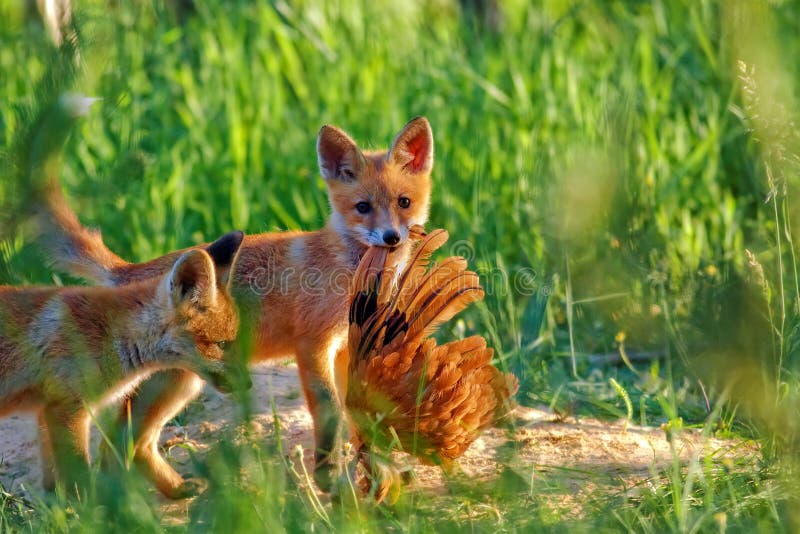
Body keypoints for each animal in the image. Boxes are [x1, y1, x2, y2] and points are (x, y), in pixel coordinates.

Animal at [0, 235, 249, 495]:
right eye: (222, 344)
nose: (249, 384)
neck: (110, 333)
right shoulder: (66, 409)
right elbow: (79, 476)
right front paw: (91, 506)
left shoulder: (48, 409)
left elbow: (55, 479)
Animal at [36, 116, 434, 497]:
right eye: (362, 208)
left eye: (404, 202)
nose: (391, 238)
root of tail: (131, 271)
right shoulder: (313, 344)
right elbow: (330, 412)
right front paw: (330, 478)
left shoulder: (345, 346)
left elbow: (357, 411)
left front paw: (376, 467)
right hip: (173, 382)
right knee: (115, 445)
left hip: (182, 385)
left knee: (133, 444)